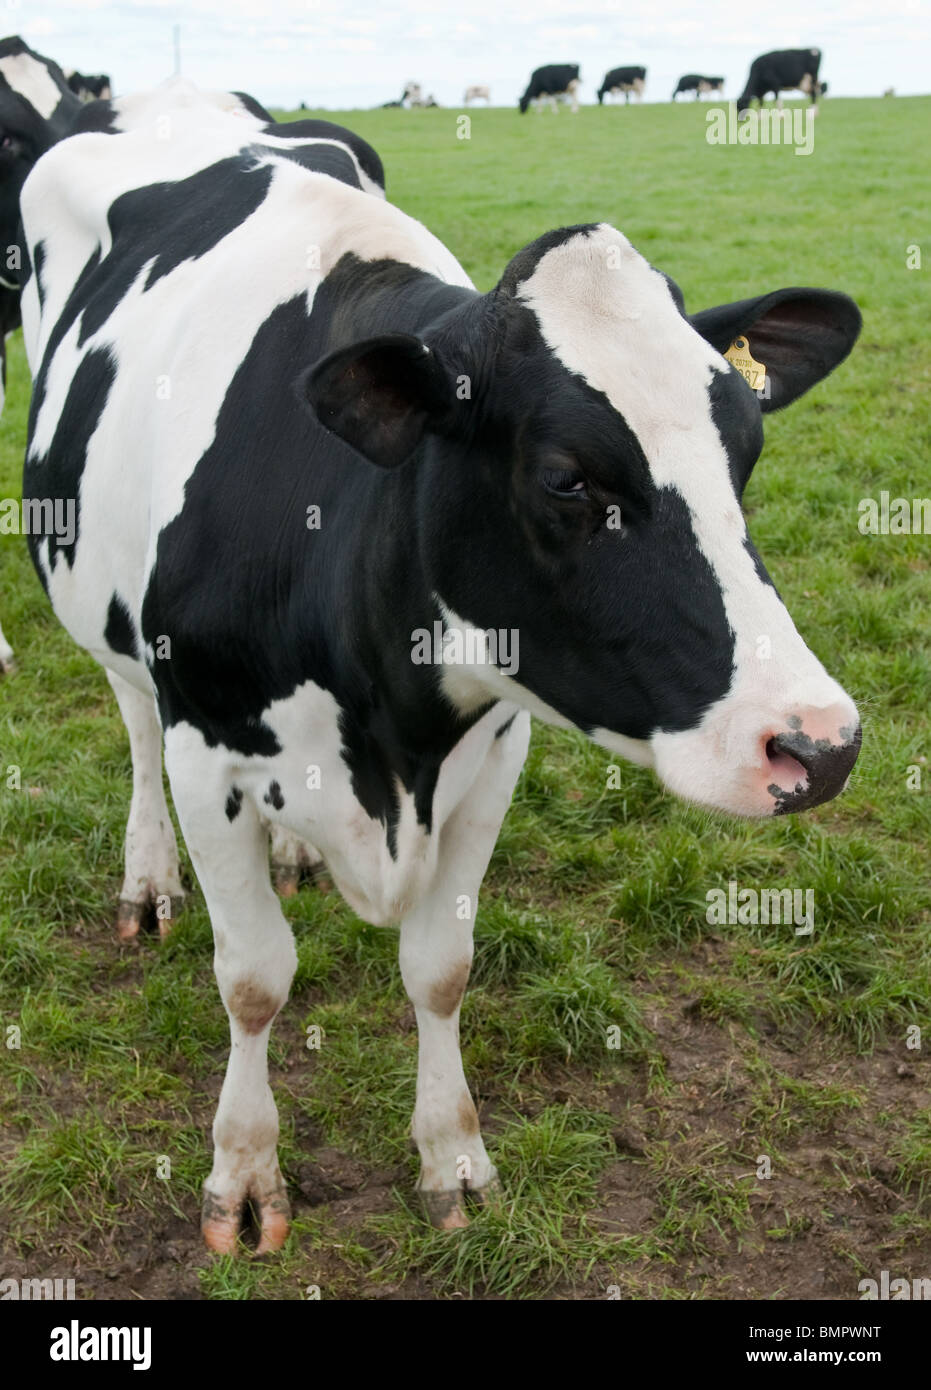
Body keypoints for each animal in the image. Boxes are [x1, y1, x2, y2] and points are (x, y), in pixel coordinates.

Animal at [20, 80, 862, 1249]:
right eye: (565, 478)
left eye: (745, 449)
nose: (818, 745)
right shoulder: (207, 748)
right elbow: (254, 979)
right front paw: (243, 1177)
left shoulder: (492, 752)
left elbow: (440, 969)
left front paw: (452, 1159)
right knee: (133, 720)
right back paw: (148, 880)